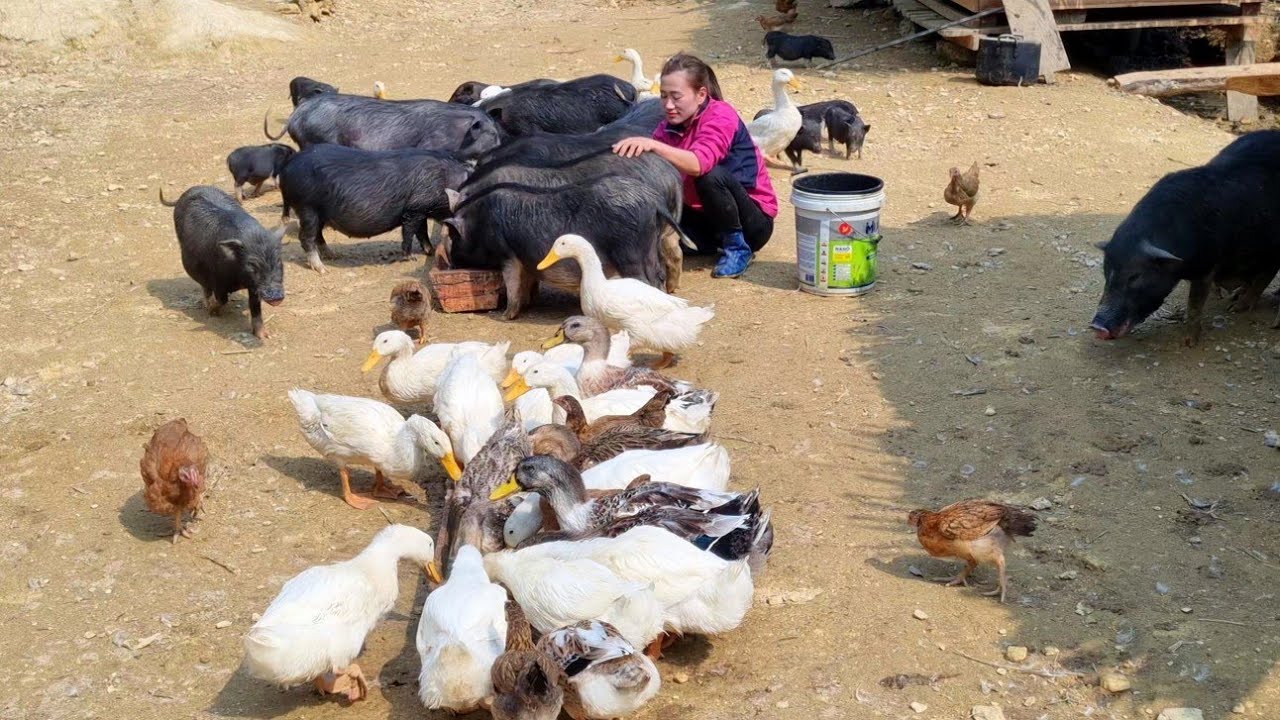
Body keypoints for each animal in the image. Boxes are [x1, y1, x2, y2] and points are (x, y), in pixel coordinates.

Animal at [159, 186, 286, 340]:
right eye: (252, 264)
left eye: (278, 260)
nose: (276, 296)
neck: (240, 279)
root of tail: (191, 190)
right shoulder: (217, 280)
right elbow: (222, 299)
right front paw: (212, 311)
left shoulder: (255, 286)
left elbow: (255, 307)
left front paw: (265, 336)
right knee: (205, 287)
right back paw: (206, 304)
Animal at [278, 144, 470, 274]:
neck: (445, 181)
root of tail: (288, 164)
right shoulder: (414, 209)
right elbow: (409, 232)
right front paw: (410, 257)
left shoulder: (421, 211)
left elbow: (422, 232)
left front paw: (429, 251)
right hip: (307, 208)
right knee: (306, 238)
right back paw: (323, 269)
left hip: (319, 214)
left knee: (317, 235)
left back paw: (333, 255)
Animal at [1091, 130, 1280, 346]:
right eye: (1106, 272)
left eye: (1135, 276)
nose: (1096, 326)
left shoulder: (1207, 265)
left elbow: (1195, 303)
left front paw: (1189, 343)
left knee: (1268, 273)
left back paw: (1242, 310)